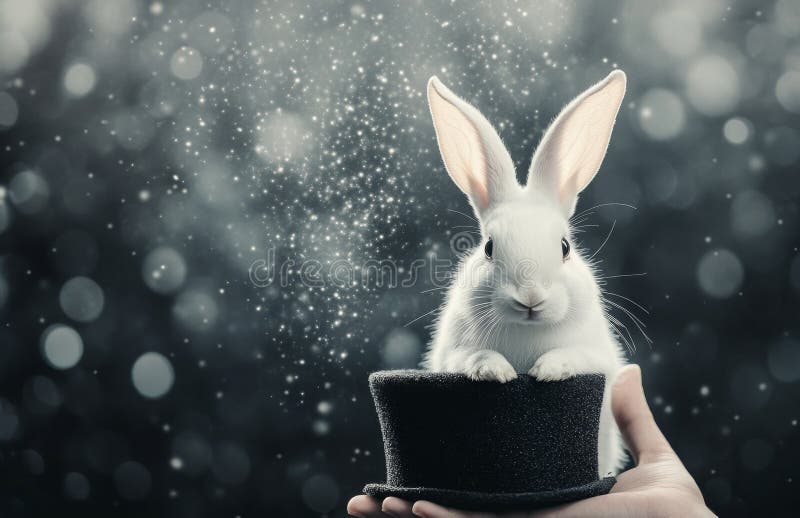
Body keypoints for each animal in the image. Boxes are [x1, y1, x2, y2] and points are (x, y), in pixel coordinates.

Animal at [421, 70, 630, 477]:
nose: (530, 297)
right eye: (488, 247)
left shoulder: (597, 355)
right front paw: (495, 371)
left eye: (565, 247)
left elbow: (576, 355)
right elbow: (471, 357)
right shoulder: (453, 353)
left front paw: (549, 369)